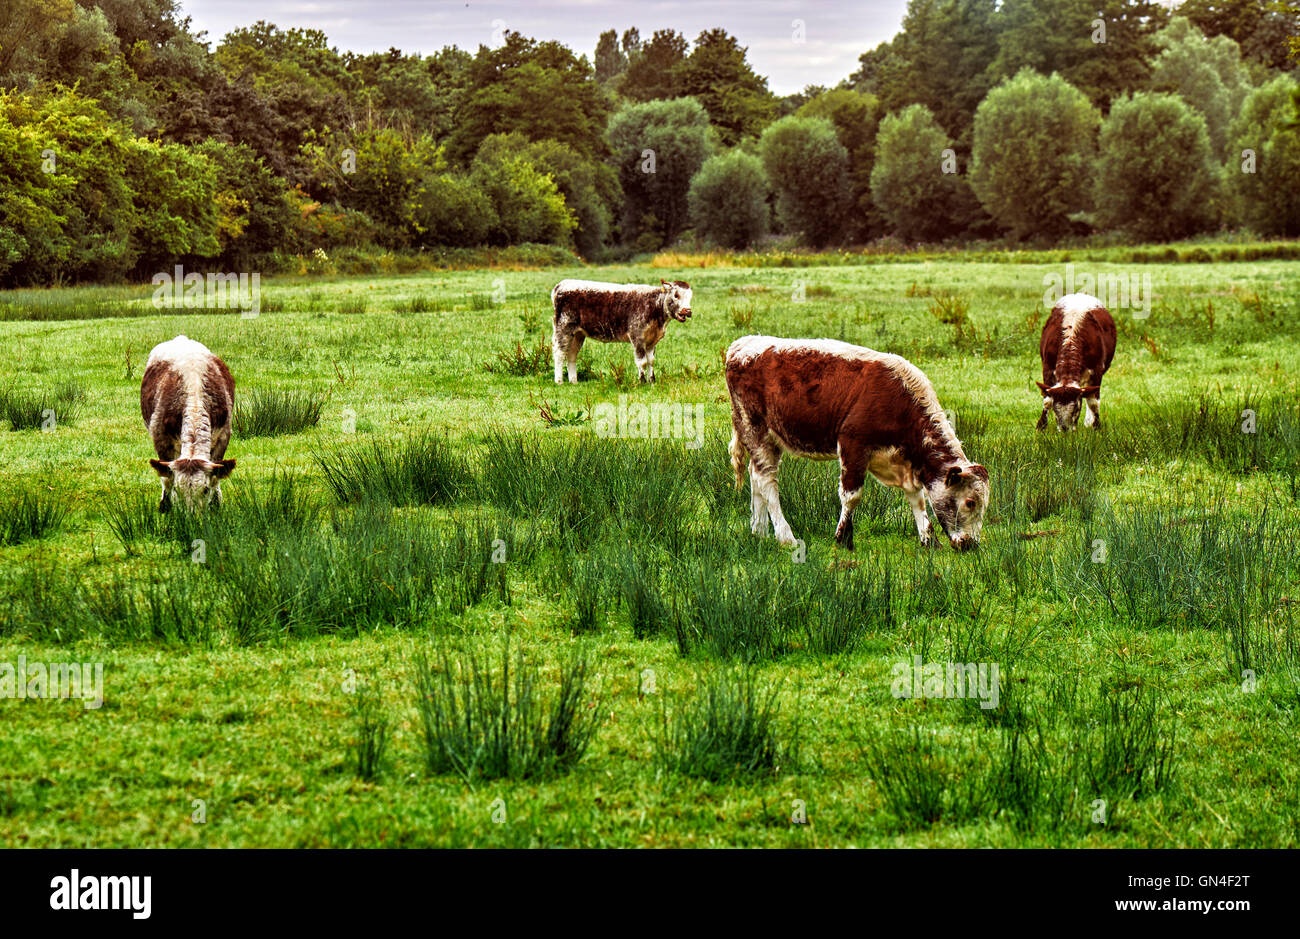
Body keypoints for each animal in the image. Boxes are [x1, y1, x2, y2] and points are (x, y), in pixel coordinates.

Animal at [140, 335, 236, 512]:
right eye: (178, 490)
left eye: (205, 490)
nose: (191, 516)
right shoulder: (160, 438)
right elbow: (167, 478)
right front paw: (166, 505)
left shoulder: (223, 436)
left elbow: (216, 476)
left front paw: (216, 504)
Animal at [551, 279, 693, 384]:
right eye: (676, 295)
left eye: (690, 297)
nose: (687, 311)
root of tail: (562, 284)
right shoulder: (637, 338)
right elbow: (642, 362)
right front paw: (642, 382)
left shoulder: (652, 341)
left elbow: (651, 361)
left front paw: (652, 381)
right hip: (563, 327)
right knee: (560, 353)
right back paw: (559, 381)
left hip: (578, 334)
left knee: (571, 354)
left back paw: (573, 381)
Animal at [725, 336, 989, 552]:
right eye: (970, 502)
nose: (970, 545)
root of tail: (741, 345)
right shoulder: (853, 444)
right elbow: (851, 496)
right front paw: (843, 538)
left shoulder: (903, 462)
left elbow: (918, 498)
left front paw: (929, 540)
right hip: (755, 428)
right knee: (767, 480)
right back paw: (785, 536)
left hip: (768, 438)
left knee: (756, 476)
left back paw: (759, 531)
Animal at [1037, 293, 1116, 432]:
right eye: (1055, 410)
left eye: (1076, 409)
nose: (1065, 429)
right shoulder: (1047, 367)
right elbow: (1047, 399)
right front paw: (1041, 426)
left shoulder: (1097, 370)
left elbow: (1093, 401)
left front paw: (1095, 426)